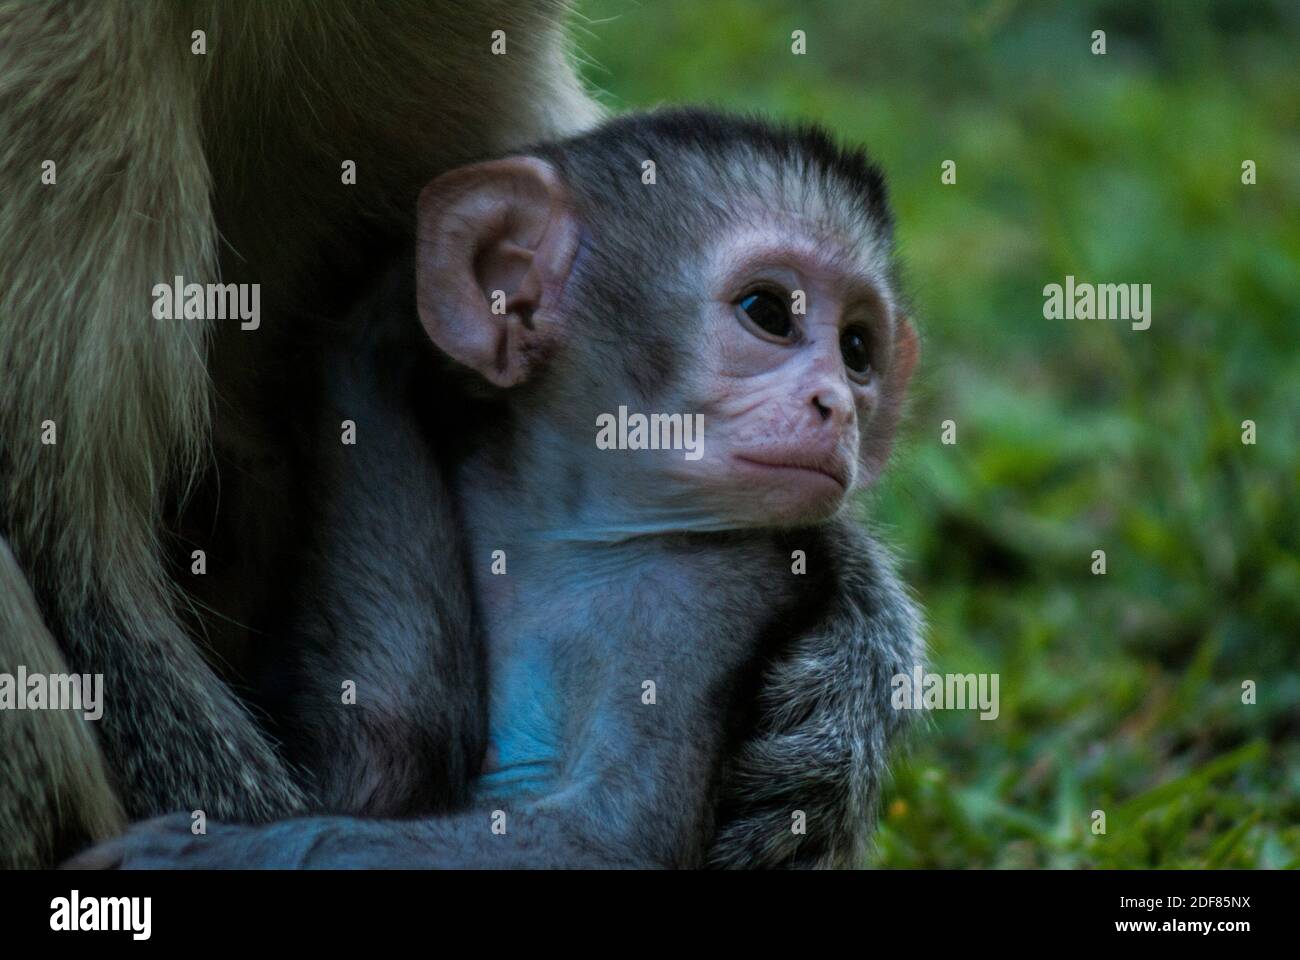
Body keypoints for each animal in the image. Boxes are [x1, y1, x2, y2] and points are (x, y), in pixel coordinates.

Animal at [72, 108, 924, 868]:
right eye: (769, 312)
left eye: (857, 349)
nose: (839, 404)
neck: (569, 530)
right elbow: (381, 758)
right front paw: (377, 321)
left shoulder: (716, 591)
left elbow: (601, 841)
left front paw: (196, 853)